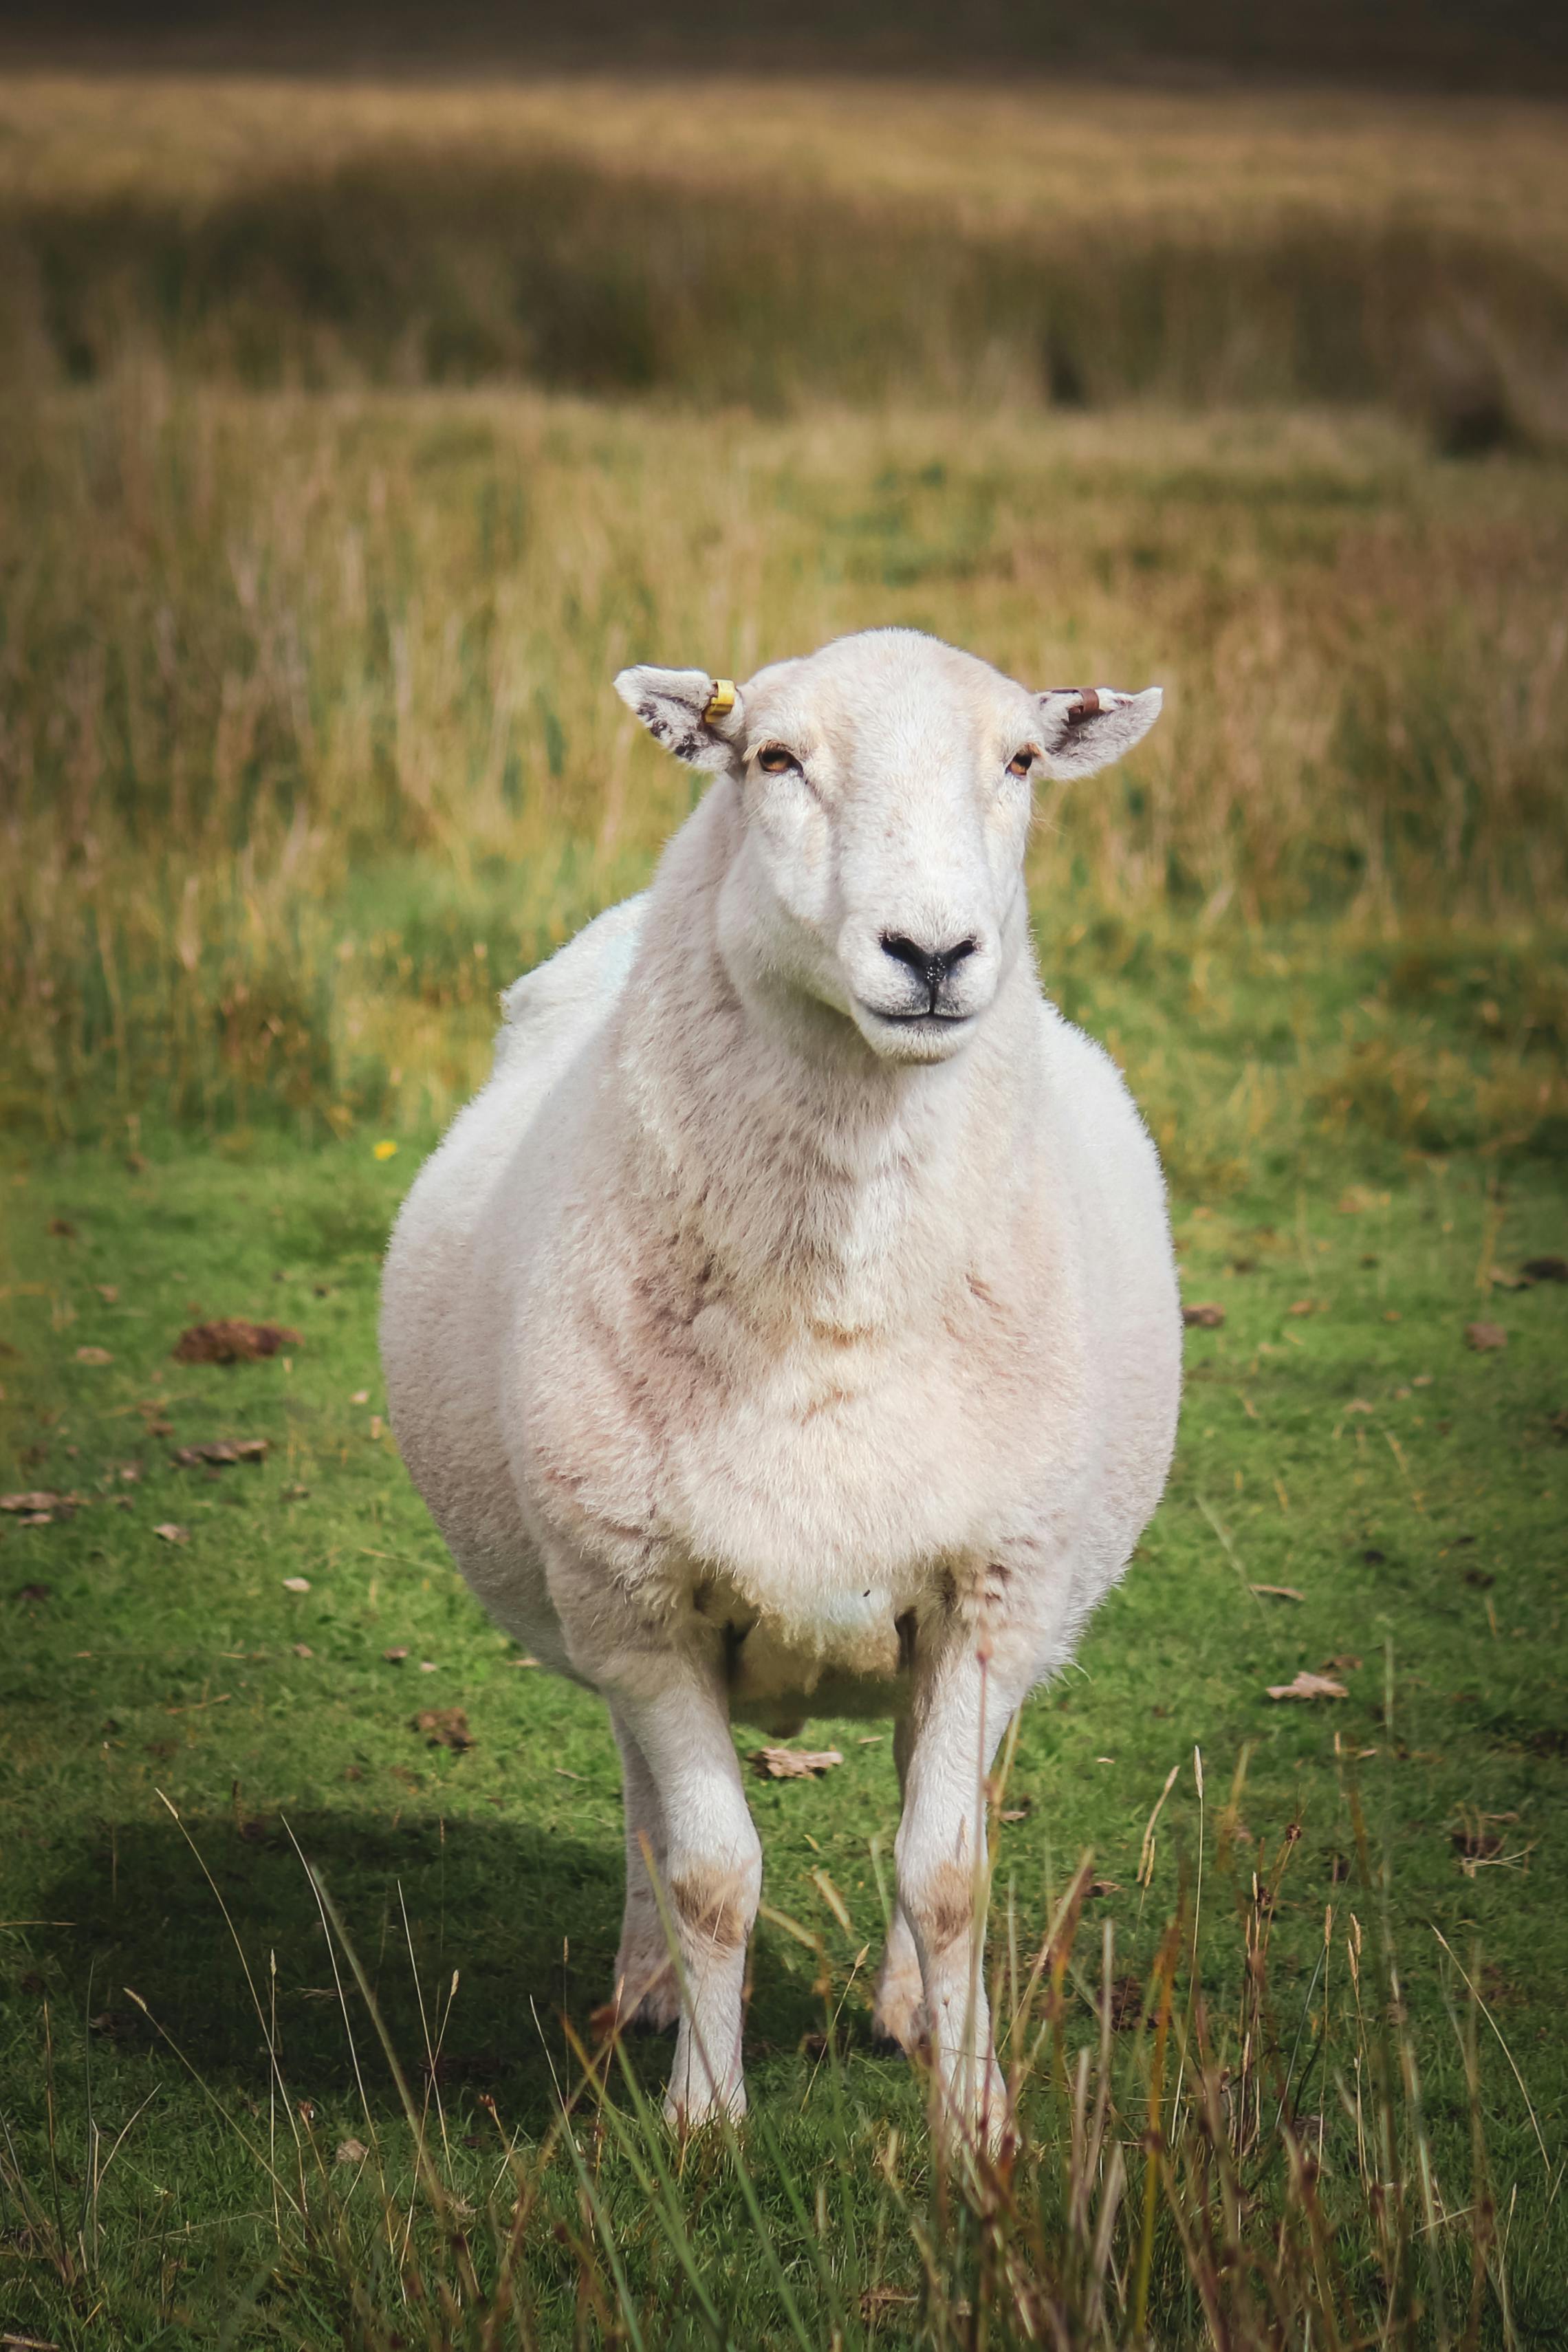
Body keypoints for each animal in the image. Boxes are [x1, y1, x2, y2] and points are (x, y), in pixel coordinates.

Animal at [379, 626, 1181, 2141]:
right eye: (773, 759)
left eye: (1023, 760)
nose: (934, 953)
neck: (843, 1296)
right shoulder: (639, 1603)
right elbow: (710, 1872)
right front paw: (705, 2120)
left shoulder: (990, 1593)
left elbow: (949, 1873)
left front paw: (973, 2119)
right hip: (601, 1603)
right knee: (647, 1807)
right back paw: (643, 1992)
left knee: (938, 1805)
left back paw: (910, 2012)